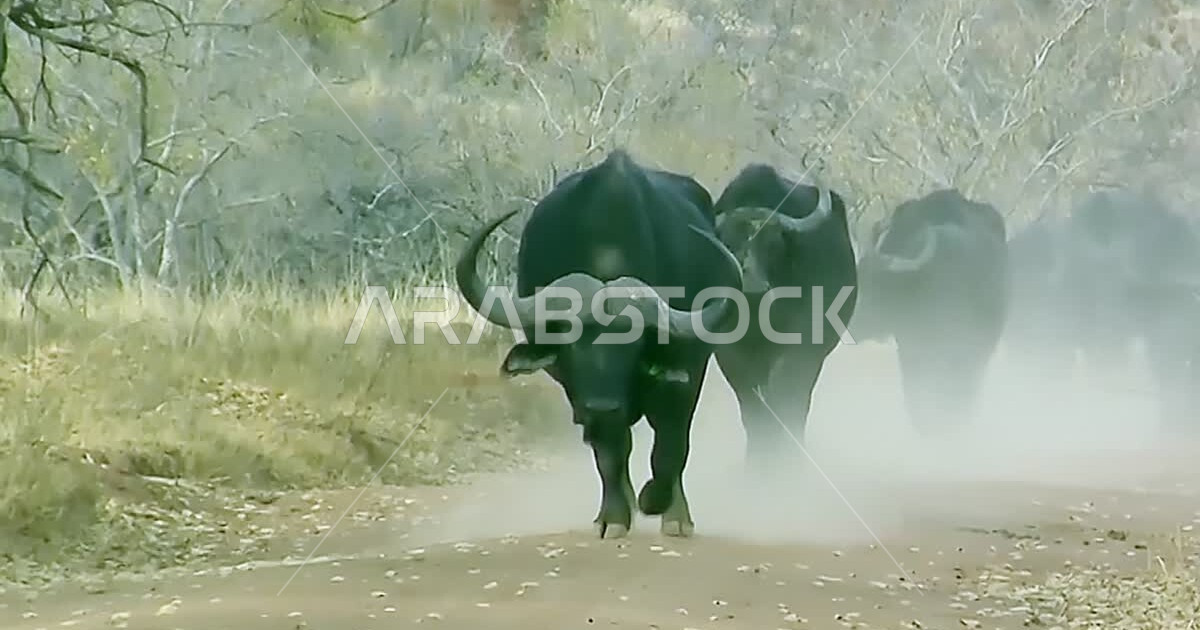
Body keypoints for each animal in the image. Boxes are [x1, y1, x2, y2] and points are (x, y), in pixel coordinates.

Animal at [455, 149, 744, 539]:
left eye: (633, 344)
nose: (602, 406)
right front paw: (614, 516)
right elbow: (611, 452)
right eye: (571, 340)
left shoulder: (685, 372)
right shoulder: (578, 394)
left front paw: (661, 505)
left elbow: (670, 446)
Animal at [706, 164, 857, 477]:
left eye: (772, 242)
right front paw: (757, 463)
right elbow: (752, 409)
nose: (751, 284)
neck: (757, 317)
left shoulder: (801, 348)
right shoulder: (729, 355)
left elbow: (785, 399)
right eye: (729, 242)